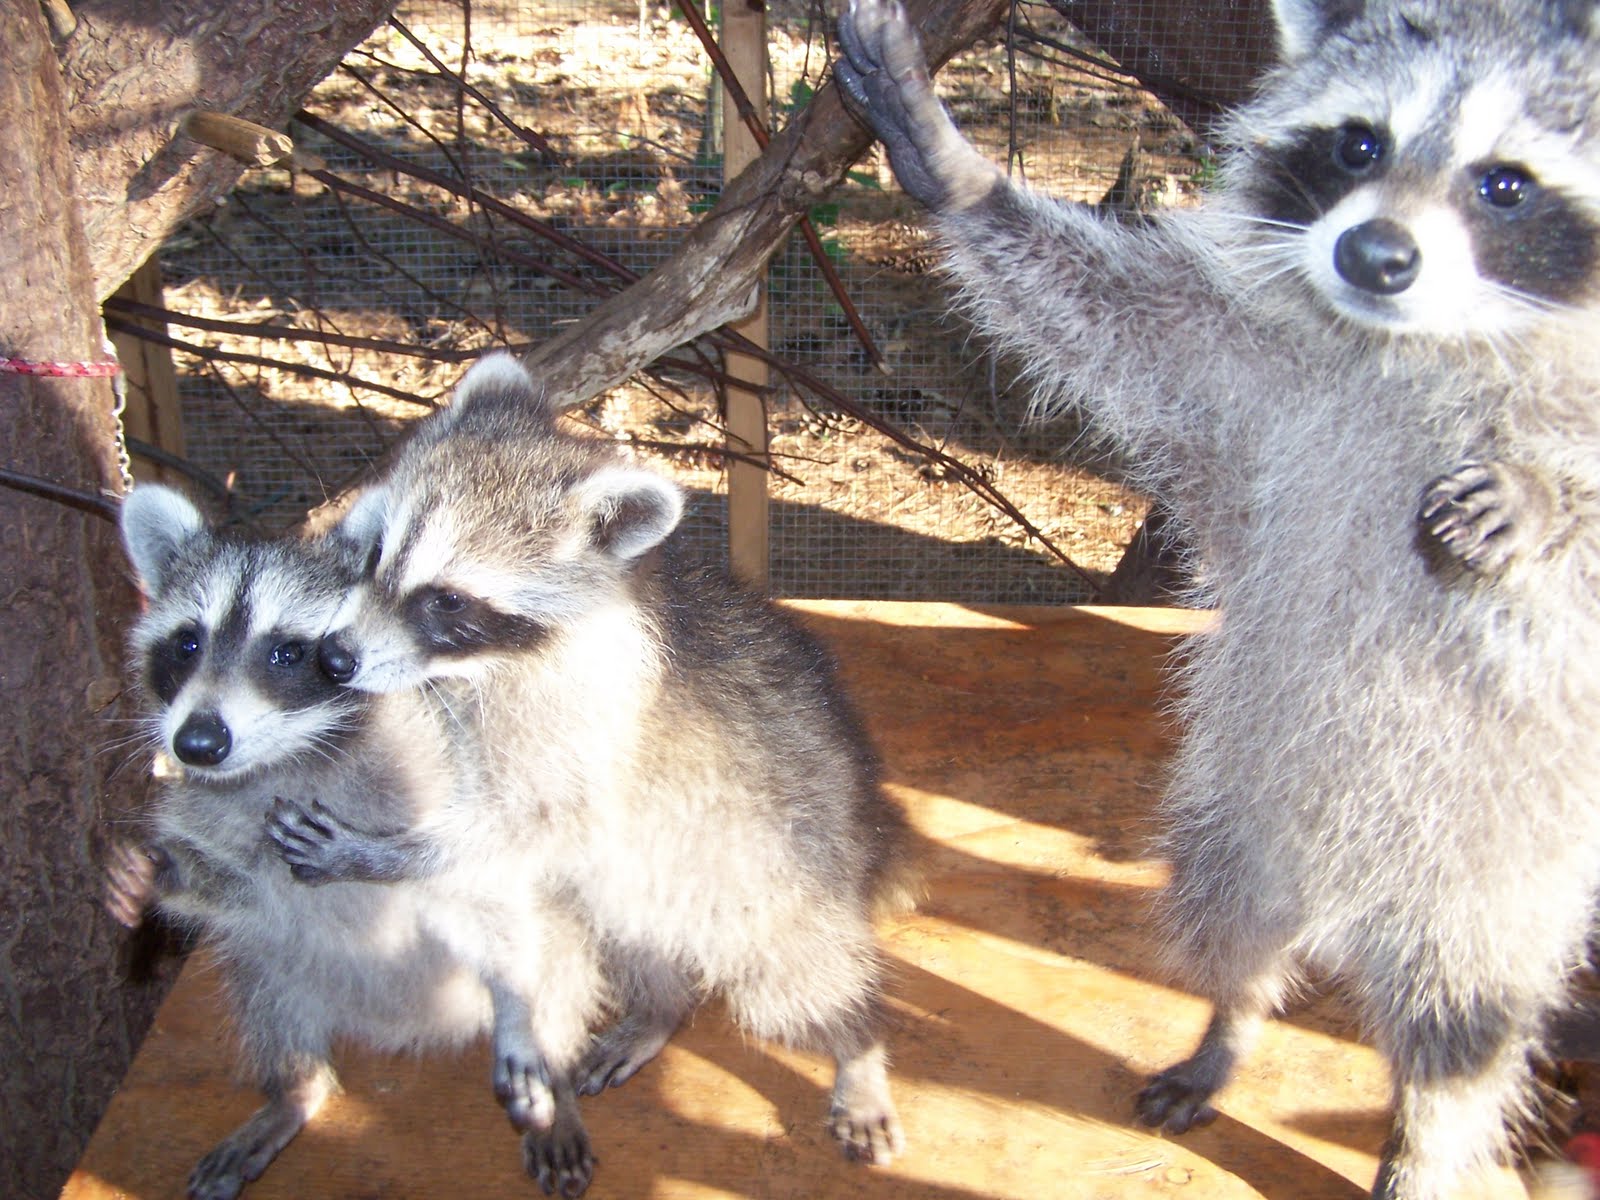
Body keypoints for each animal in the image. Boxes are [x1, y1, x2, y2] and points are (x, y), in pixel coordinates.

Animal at [114, 484, 603, 1200]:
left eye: (286, 653)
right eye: (187, 643)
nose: (197, 743)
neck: (291, 757)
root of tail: (408, 1025)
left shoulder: (449, 773)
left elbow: (492, 887)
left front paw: (520, 1014)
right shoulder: (218, 815)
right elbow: (235, 892)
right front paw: (161, 875)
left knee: (558, 965)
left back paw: (556, 1073)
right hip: (286, 969)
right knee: (265, 979)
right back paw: (295, 1087)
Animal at [288, 353, 917, 1179]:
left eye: (448, 600)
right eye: (372, 552)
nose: (336, 659)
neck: (479, 671)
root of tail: (864, 819)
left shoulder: (583, 739)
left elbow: (521, 827)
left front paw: (389, 853)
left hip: (772, 873)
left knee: (799, 974)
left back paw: (859, 1044)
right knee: (617, 939)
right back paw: (657, 1009)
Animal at [836, 1, 1600, 1196]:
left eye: (1505, 183)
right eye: (1359, 144)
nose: (1372, 255)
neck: (1417, 343)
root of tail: (1346, 885)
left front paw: (1546, 493)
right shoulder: (1252, 370)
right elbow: (1125, 323)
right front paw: (952, 167)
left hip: (1494, 844)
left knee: (1462, 1004)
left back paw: (1429, 1129)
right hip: (1241, 796)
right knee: (1230, 908)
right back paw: (1230, 1019)